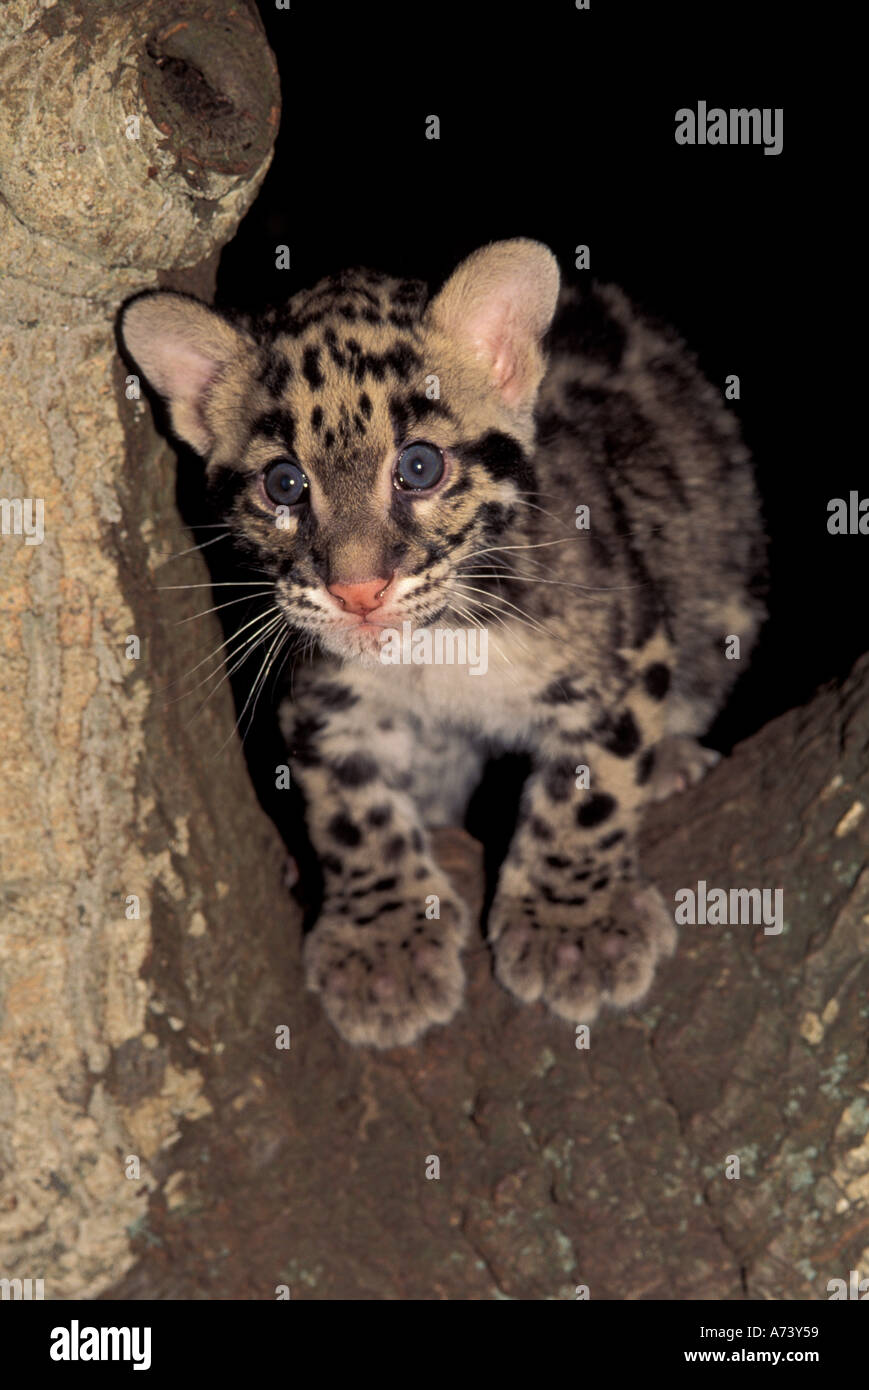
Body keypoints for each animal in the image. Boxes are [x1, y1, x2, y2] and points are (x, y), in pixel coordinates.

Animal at [120, 238, 766, 1048]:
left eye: (419, 467)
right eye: (284, 484)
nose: (358, 590)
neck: (436, 646)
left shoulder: (623, 651)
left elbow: (589, 790)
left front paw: (574, 928)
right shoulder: (325, 701)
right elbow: (350, 812)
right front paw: (383, 946)